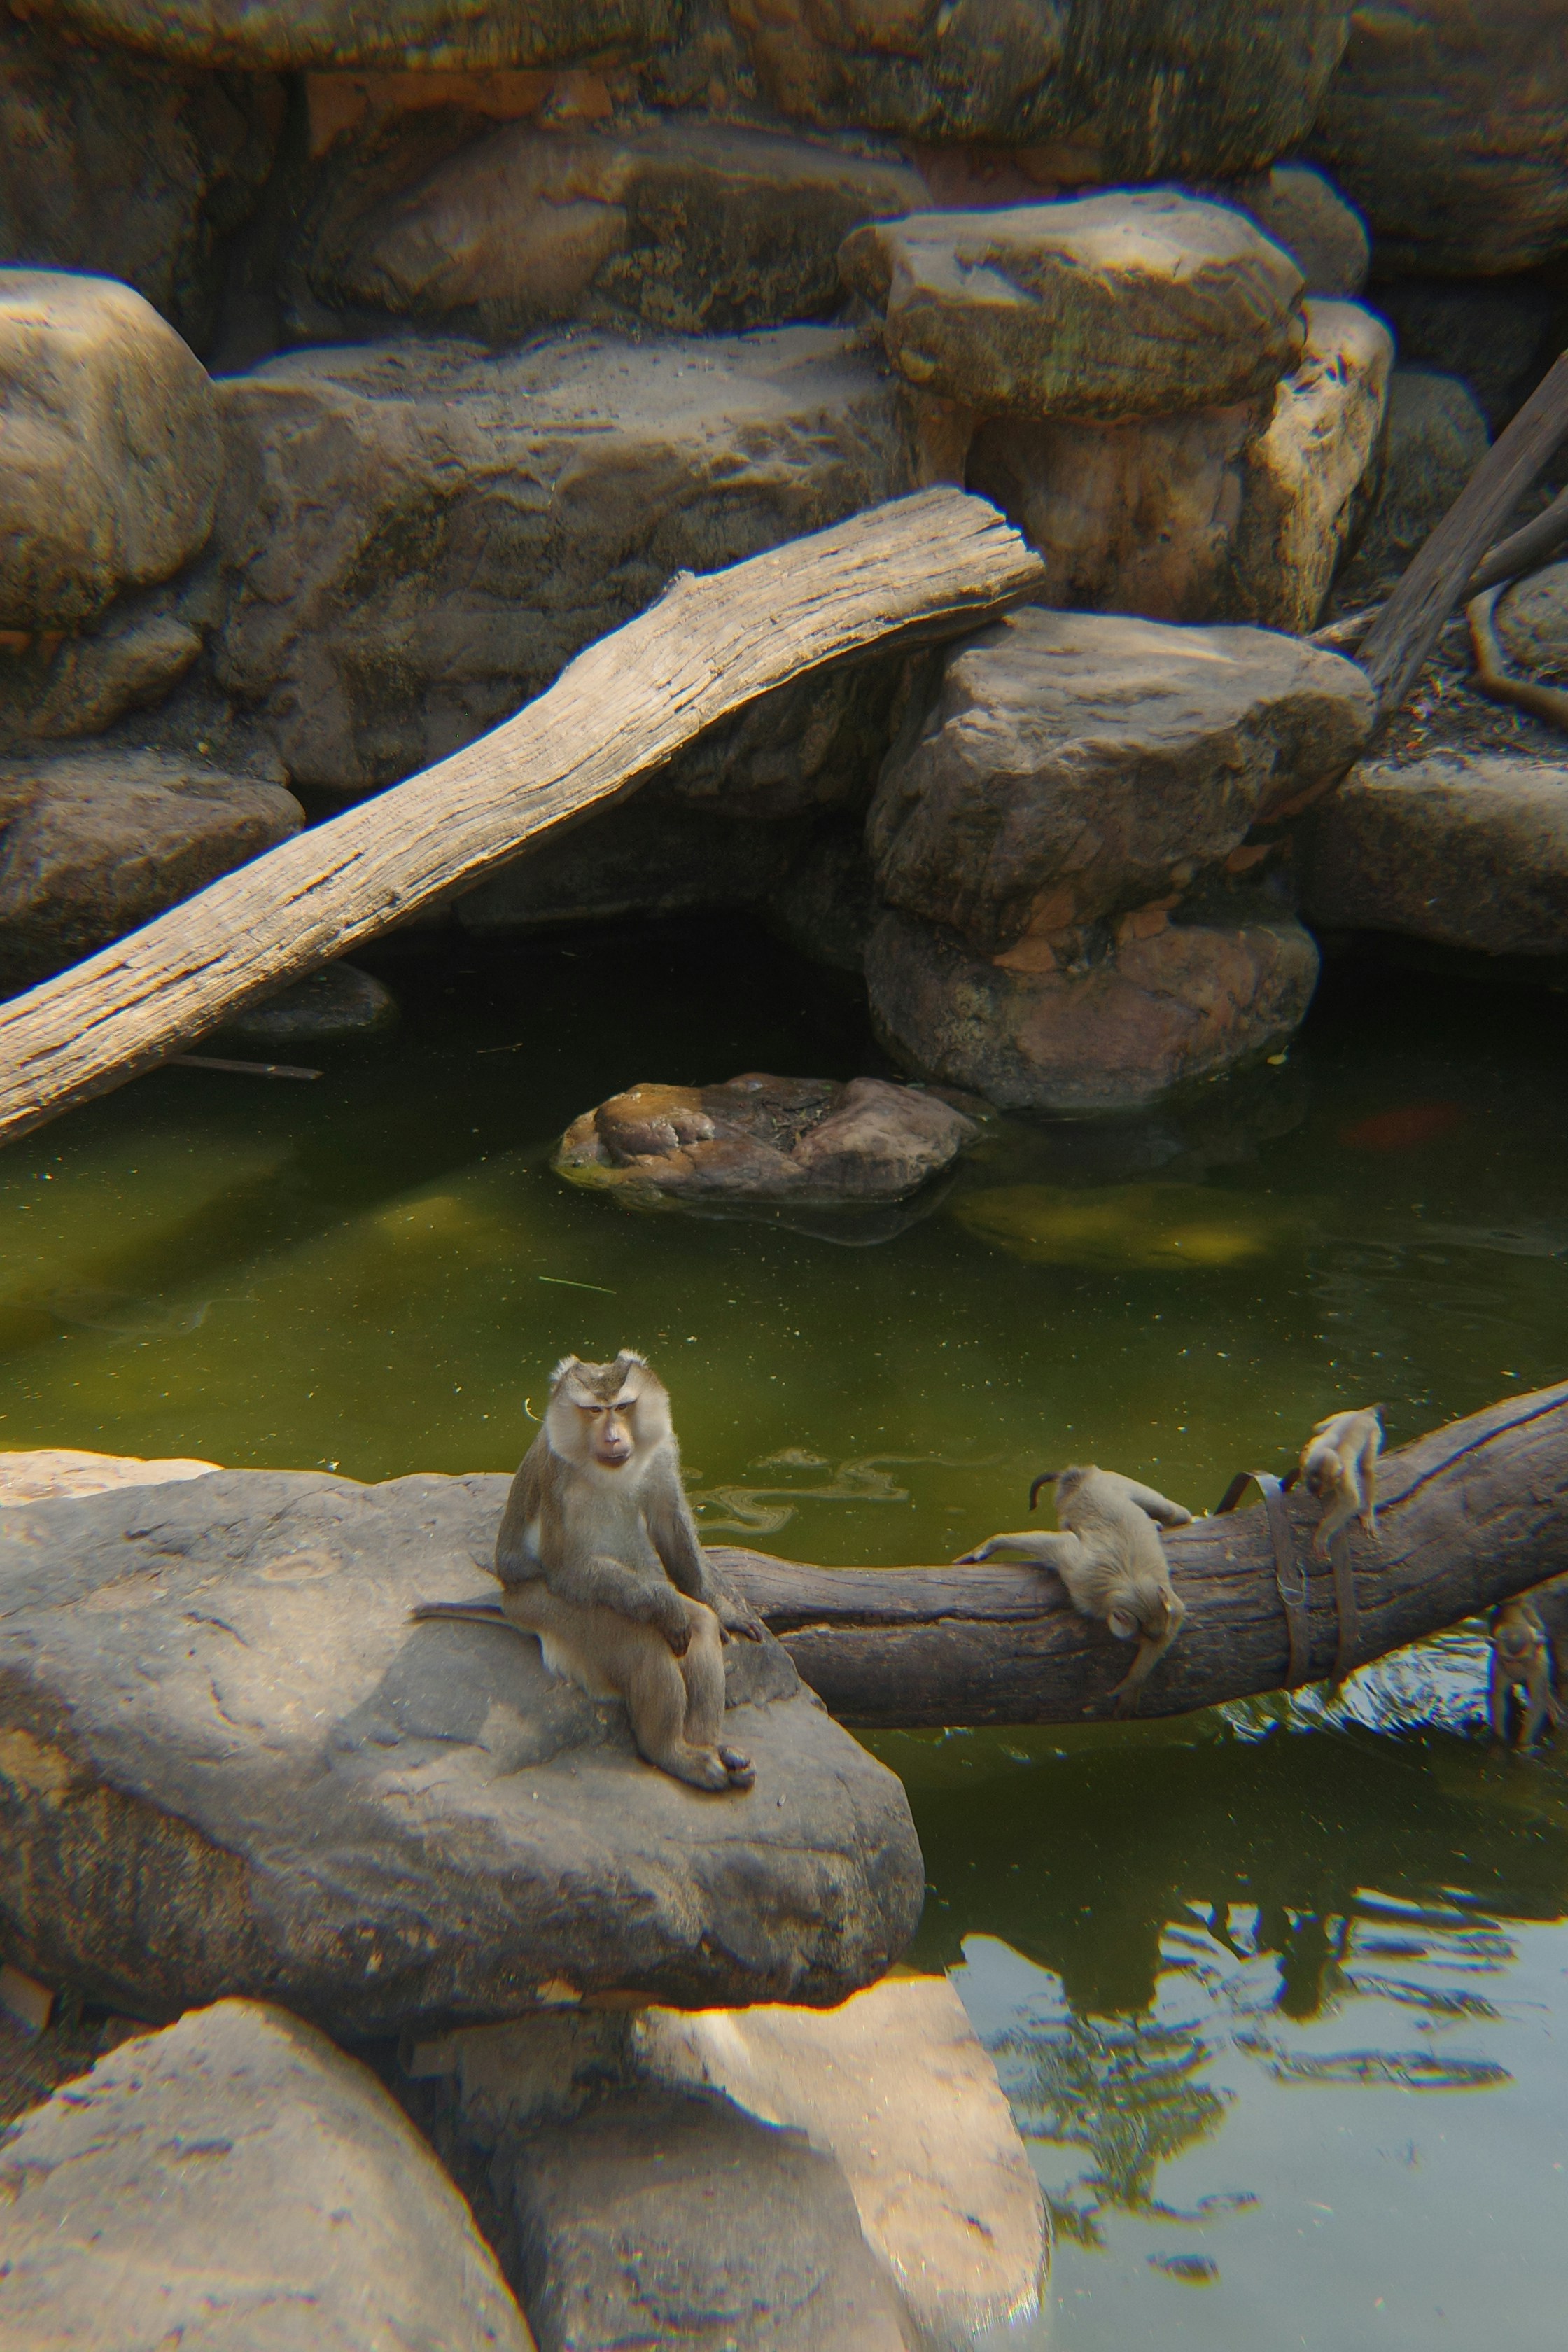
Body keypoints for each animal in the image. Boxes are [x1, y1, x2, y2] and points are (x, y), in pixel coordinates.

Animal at [413, 1351, 765, 1793]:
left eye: (623, 1406)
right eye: (594, 1411)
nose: (613, 1438)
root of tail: (510, 1600)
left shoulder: (662, 1454)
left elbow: (671, 1529)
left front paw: (721, 1606)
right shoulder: (559, 1480)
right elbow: (569, 1569)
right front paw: (664, 1605)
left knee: (698, 1625)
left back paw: (706, 1747)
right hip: (546, 1610)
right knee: (643, 1645)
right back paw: (672, 1754)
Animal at [953, 1465, 1193, 1714]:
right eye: (1140, 1636)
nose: (1147, 1642)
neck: (1130, 1582)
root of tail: (1079, 1476)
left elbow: (1177, 1612)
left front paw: (1133, 1682)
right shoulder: (1082, 1578)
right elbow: (1062, 1544)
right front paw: (993, 1543)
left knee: (1175, 1512)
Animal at [1298, 1407, 1382, 1558]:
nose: (1319, 1494)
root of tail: (1364, 1413)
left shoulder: (1343, 1474)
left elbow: (1351, 1501)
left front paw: (1322, 1534)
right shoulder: (1308, 1454)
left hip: (1373, 1430)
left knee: (1366, 1467)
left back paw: (1367, 1512)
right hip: (1346, 1414)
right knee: (1319, 1428)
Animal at [1487, 1596, 1560, 1748]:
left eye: (1523, 1661)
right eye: (1508, 1660)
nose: (1515, 1671)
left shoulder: (1538, 1666)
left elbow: (1537, 1702)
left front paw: (1523, 1745)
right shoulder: (1498, 1665)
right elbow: (1499, 1697)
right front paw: (1500, 1739)